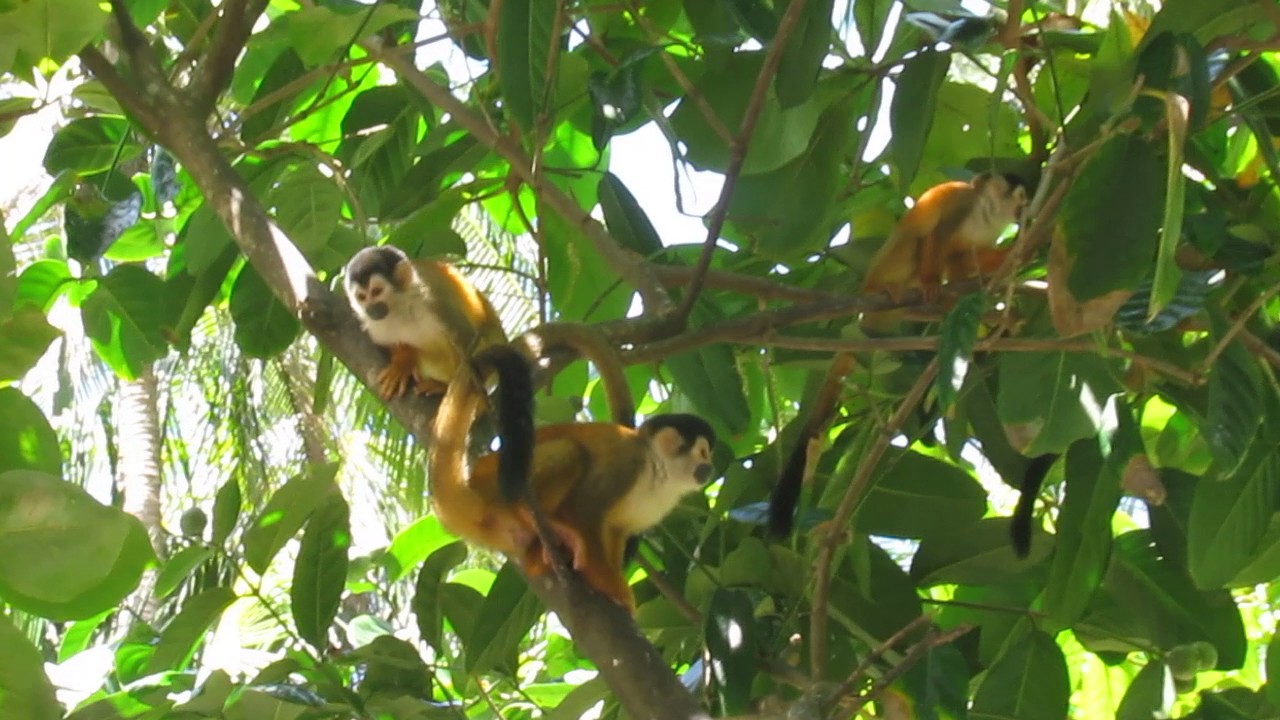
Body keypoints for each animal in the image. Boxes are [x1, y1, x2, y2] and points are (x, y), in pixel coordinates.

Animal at [343, 245, 508, 400]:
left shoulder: (434, 299)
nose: (371, 309)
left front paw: (447, 387)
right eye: (361, 297)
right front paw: (403, 362)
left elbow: (469, 338)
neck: (400, 306)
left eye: (376, 291)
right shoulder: (375, 327)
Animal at [428, 344, 717, 610]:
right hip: (496, 488)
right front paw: (610, 584)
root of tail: (471, 485)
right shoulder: (626, 463)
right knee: (570, 451)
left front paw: (611, 573)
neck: (658, 470)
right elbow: (585, 509)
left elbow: (617, 530)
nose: (710, 468)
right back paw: (532, 515)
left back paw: (538, 558)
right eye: (703, 453)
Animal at [766, 172, 1028, 538]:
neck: (988, 213)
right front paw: (934, 282)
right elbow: (938, 237)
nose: (1023, 212)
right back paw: (900, 289)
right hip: (885, 265)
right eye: (1020, 199)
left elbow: (965, 257)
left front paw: (1017, 254)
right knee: (915, 240)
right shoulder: (963, 206)